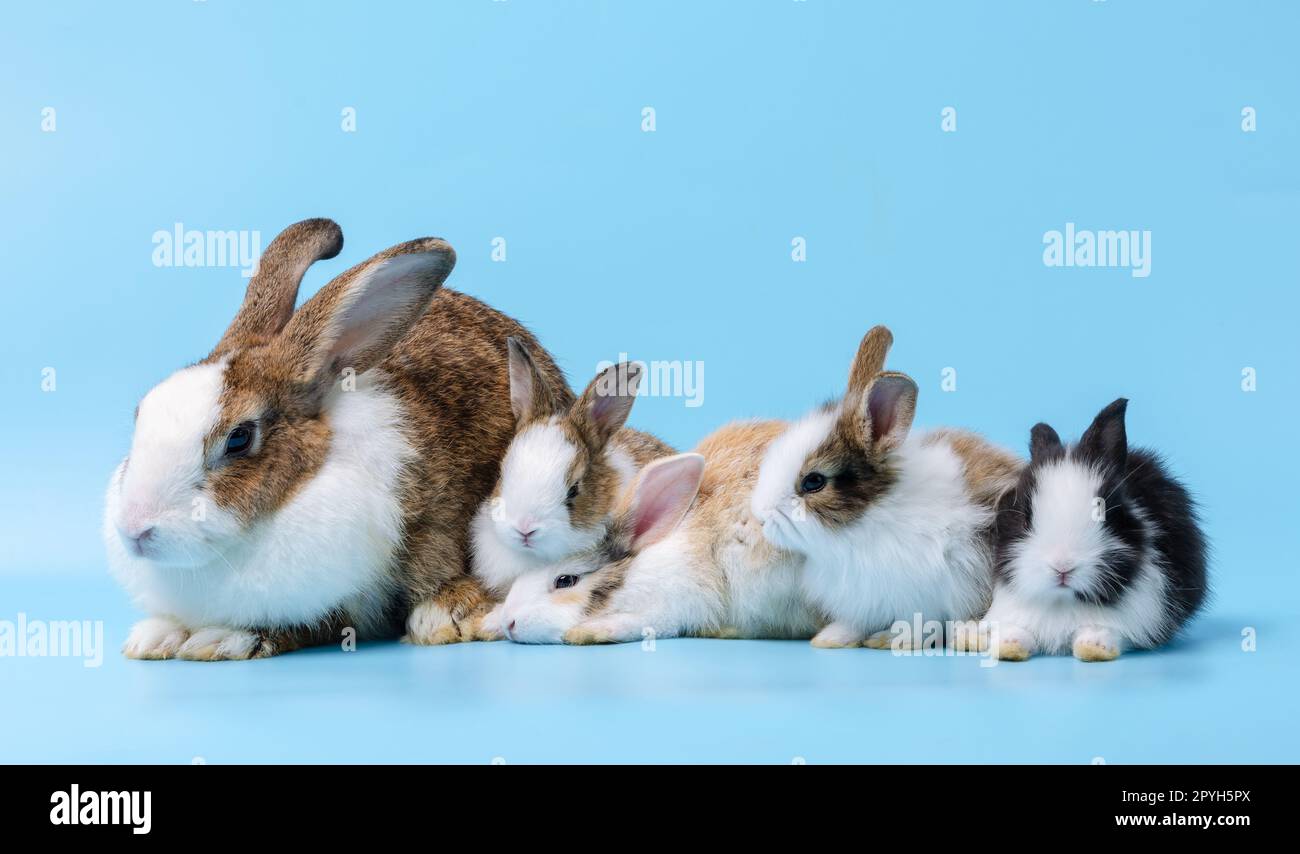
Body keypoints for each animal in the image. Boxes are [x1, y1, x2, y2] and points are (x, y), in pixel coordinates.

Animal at [750, 326, 1023, 649]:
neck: (865, 523)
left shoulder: (927, 592)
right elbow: (854, 623)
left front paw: (896, 640)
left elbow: (921, 623)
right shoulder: (861, 600)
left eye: (814, 481)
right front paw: (830, 639)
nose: (760, 516)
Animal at [966, 399, 1208, 662]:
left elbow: (1108, 631)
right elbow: (1019, 629)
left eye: (1105, 511)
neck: (1063, 601)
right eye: (1025, 516)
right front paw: (1008, 646)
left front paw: (1094, 647)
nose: (1062, 567)